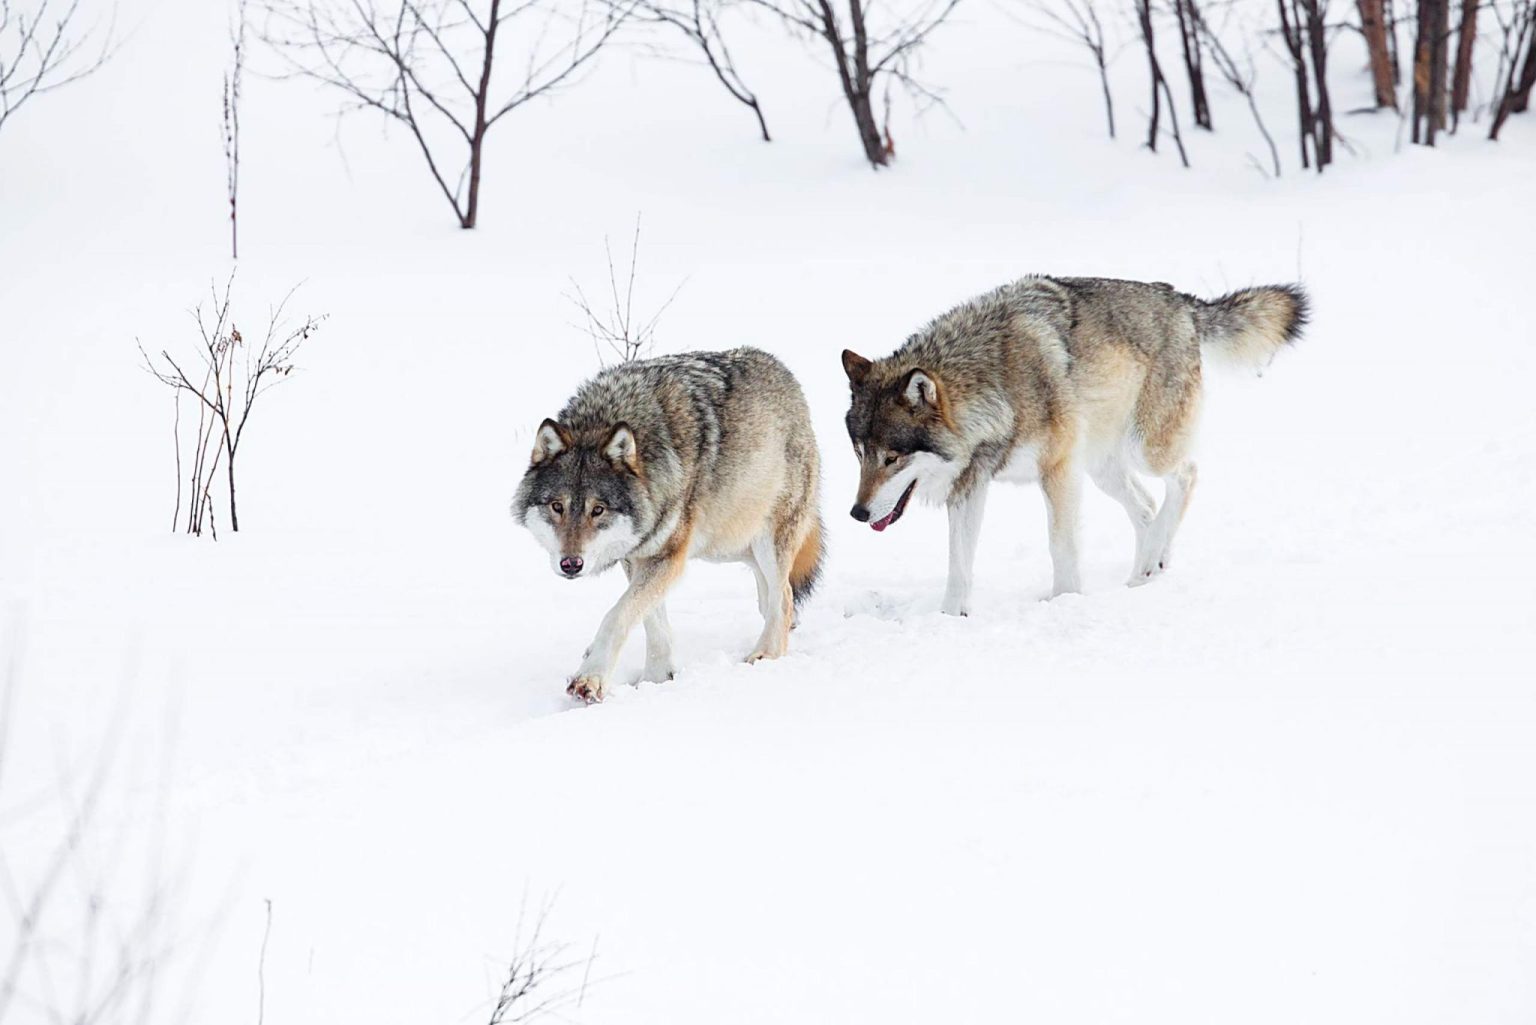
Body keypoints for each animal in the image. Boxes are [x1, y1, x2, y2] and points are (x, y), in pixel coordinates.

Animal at [513, 348, 824, 702]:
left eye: (598, 510)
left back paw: (766, 654)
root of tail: (784, 373)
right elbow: (652, 620)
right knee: (772, 597)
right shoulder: (638, 555)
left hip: (765, 541)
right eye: (557, 507)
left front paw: (591, 678)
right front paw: (657, 678)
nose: (571, 564)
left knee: (783, 596)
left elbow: (617, 615)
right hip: (730, 546)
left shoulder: (668, 557)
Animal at [841, 276, 1308, 613]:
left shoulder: (1059, 469)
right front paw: (952, 617)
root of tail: (1183, 302)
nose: (857, 513)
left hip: (1144, 450)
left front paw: (1065, 600)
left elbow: (1060, 544)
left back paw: (1150, 563)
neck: (998, 385)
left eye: (892, 457)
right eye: (860, 454)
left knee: (1186, 476)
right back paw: (1146, 571)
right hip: (1102, 468)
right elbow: (959, 563)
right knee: (1147, 506)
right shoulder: (971, 485)